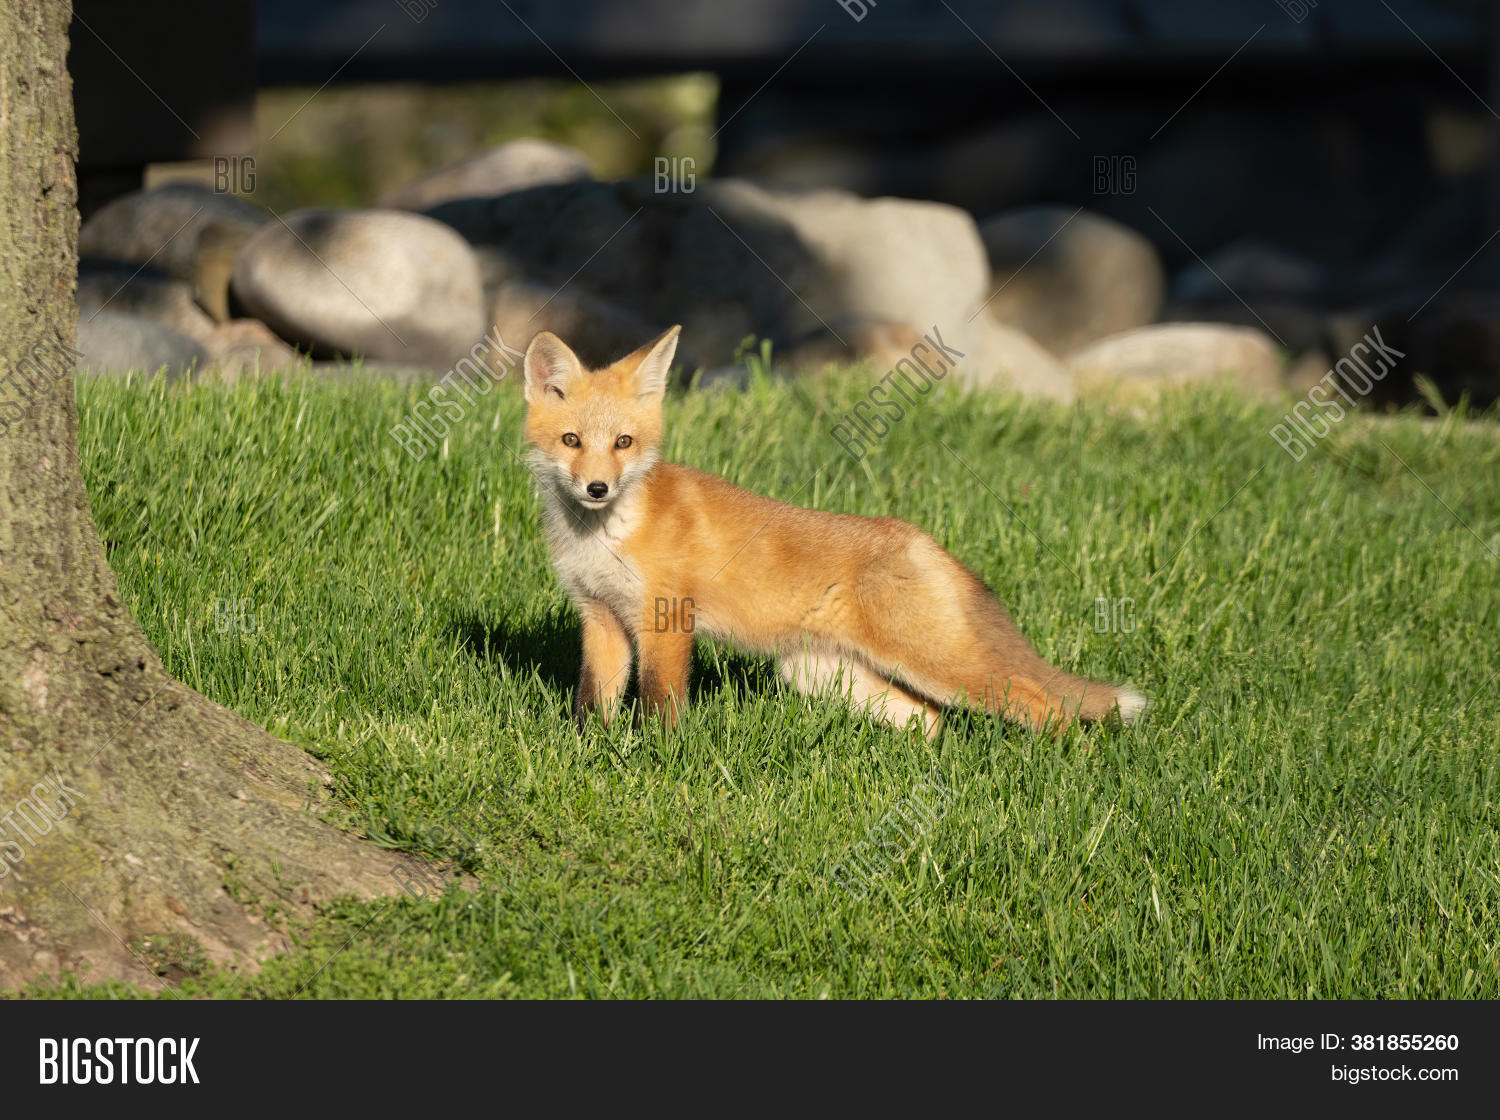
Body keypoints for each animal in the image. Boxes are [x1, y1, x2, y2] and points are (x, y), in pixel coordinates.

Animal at [522, 325, 1146, 738]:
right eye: (572, 441)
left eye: (623, 443)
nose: (597, 488)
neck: (601, 538)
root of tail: (917, 537)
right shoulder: (601, 618)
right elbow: (591, 705)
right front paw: (588, 754)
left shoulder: (666, 621)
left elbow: (660, 710)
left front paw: (658, 761)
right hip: (823, 675)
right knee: (930, 722)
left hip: (944, 667)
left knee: (1051, 710)